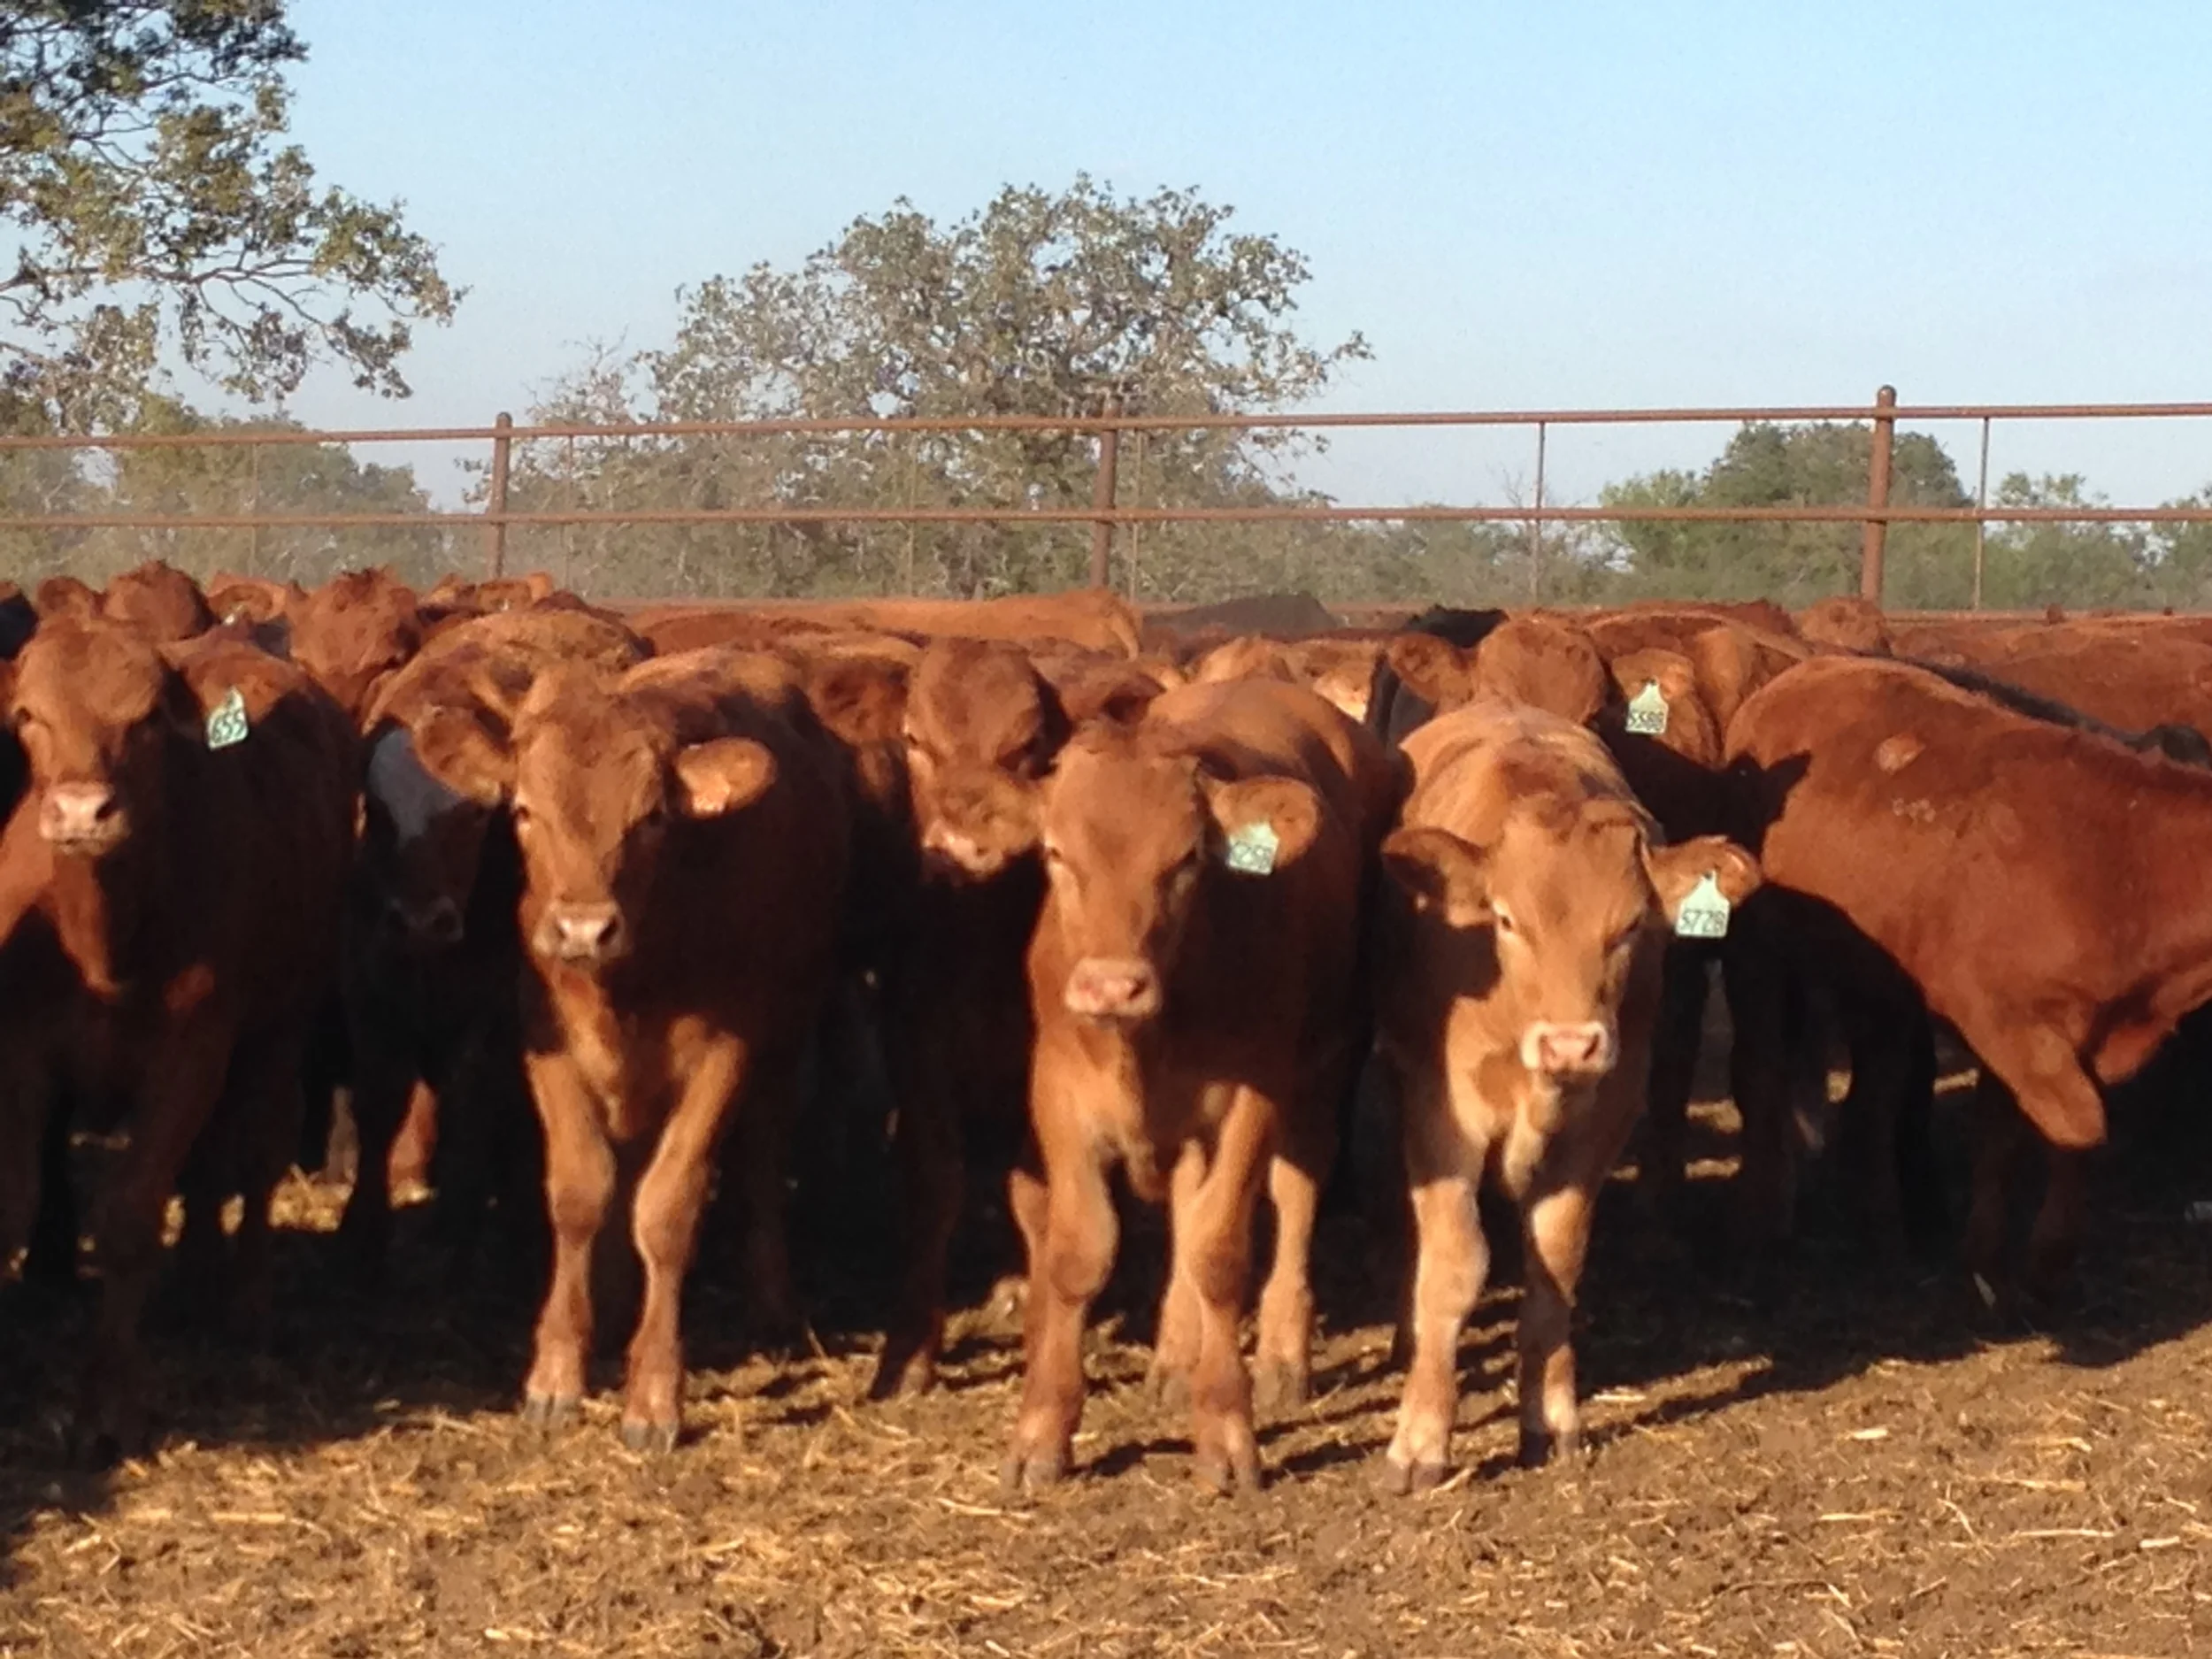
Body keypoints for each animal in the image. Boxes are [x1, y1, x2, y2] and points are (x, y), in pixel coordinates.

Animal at [0, 618, 354, 1459]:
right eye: (29, 715)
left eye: (148, 720)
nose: (82, 812)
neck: (105, 944)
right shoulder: (24, 1058)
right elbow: (16, 1200)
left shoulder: (189, 1056)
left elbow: (132, 1216)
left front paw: (105, 1406)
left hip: (280, 1025)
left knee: (256, 1154)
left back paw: (244, 1303)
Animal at [443, 649, 850, 1450]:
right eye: (523, 810)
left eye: (653, 816)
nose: (583, 929)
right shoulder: (548, 1041)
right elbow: (579, 1192)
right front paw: (557, 1371)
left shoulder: (727, 1050)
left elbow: (667, 1207)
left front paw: (655, 1393)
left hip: (786, 1037)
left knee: (762, 1157)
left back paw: (772, 1299)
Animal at [1002, 678, 1397, 1493]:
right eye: (1056, 852)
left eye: (1185, 859)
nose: (1112, 986)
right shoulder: (1057, 1091)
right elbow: (1079, 1252)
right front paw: (1042, 1430)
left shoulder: (1252, 1097)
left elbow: (1218, 1250)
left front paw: (1226, 1430)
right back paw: (1175, 1354)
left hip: (1325, 1064)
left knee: (1296, 1195)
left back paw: (1280, 1350)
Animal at [1375, 699, 1759, 1488]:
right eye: (1506, 918)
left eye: (1631, 926)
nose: (1571, 1043)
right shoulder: (1442, 1113)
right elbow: (1454, 1262)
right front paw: (1421, 1436)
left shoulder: (1604, 1117)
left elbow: (1556, 1259)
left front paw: (1549, 1417)